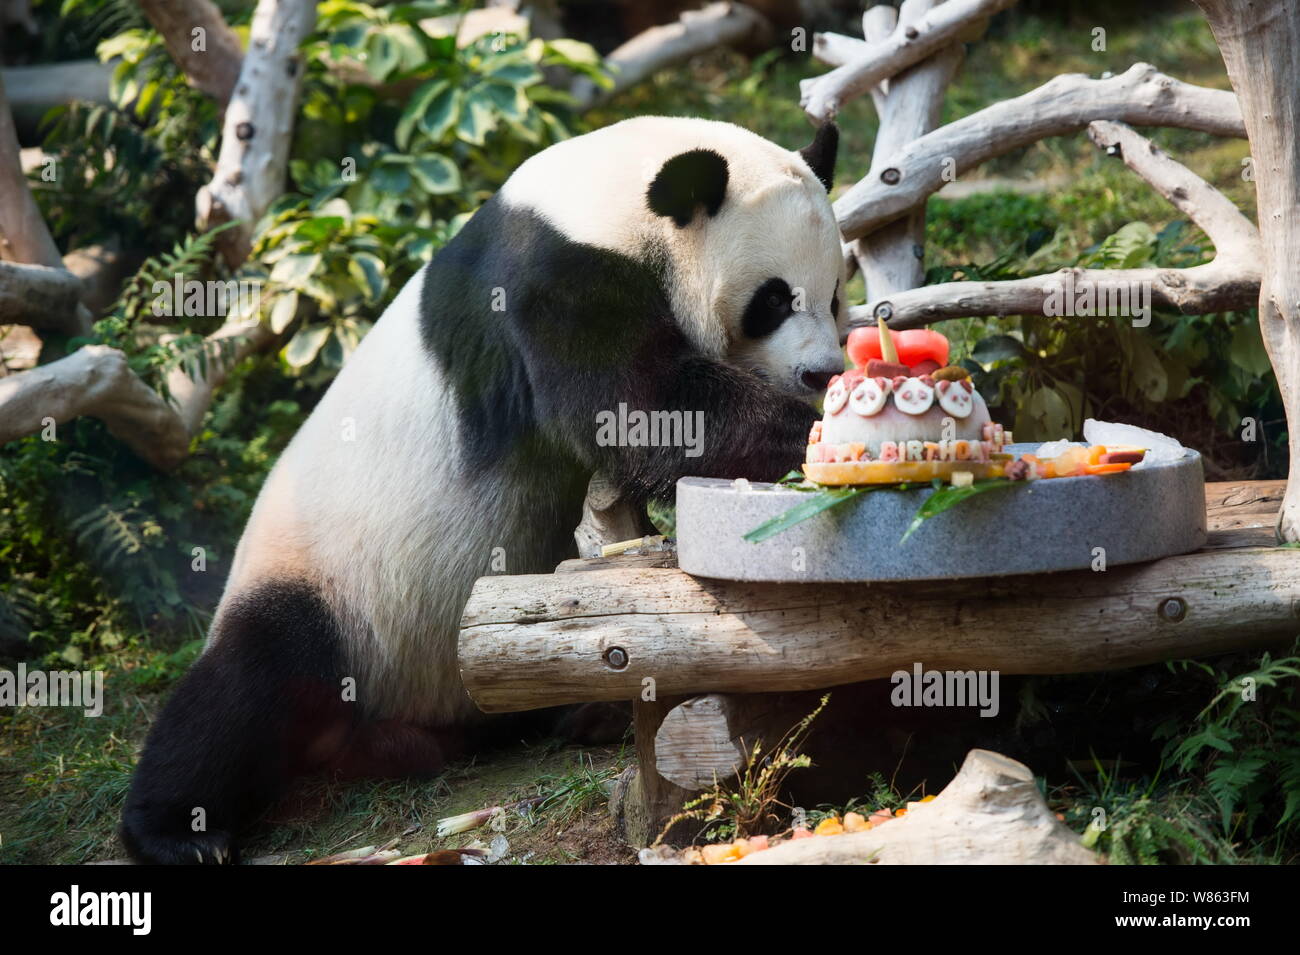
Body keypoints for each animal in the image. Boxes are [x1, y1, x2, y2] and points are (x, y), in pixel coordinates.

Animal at [120, 115, 846, 864]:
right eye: (773, 300)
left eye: (833, 294)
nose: (821, 371)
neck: (616, 196)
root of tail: (403, 722)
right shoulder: (553, 278)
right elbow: (641, 406)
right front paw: (816, 429)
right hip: (327, 586)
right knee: (249, 683)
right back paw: (177, 831)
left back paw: (579, 716)